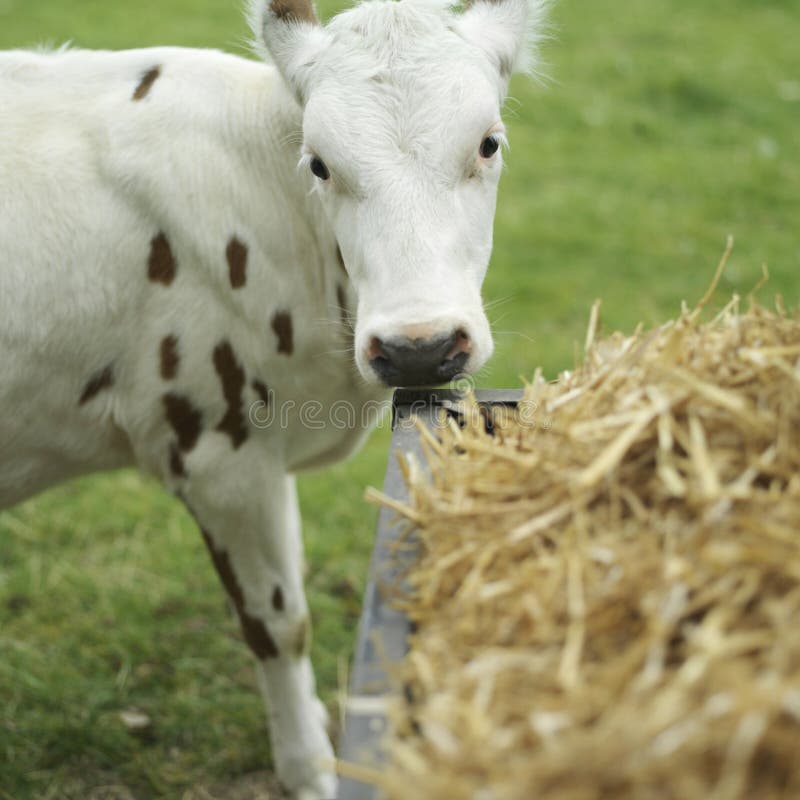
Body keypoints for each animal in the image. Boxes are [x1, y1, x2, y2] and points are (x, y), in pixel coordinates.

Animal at [0, 0, 547, 796]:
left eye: (488, 143)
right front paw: (310, 768)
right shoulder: (218, 452)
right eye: (319, 163)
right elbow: (278, 623)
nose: (419, 345)